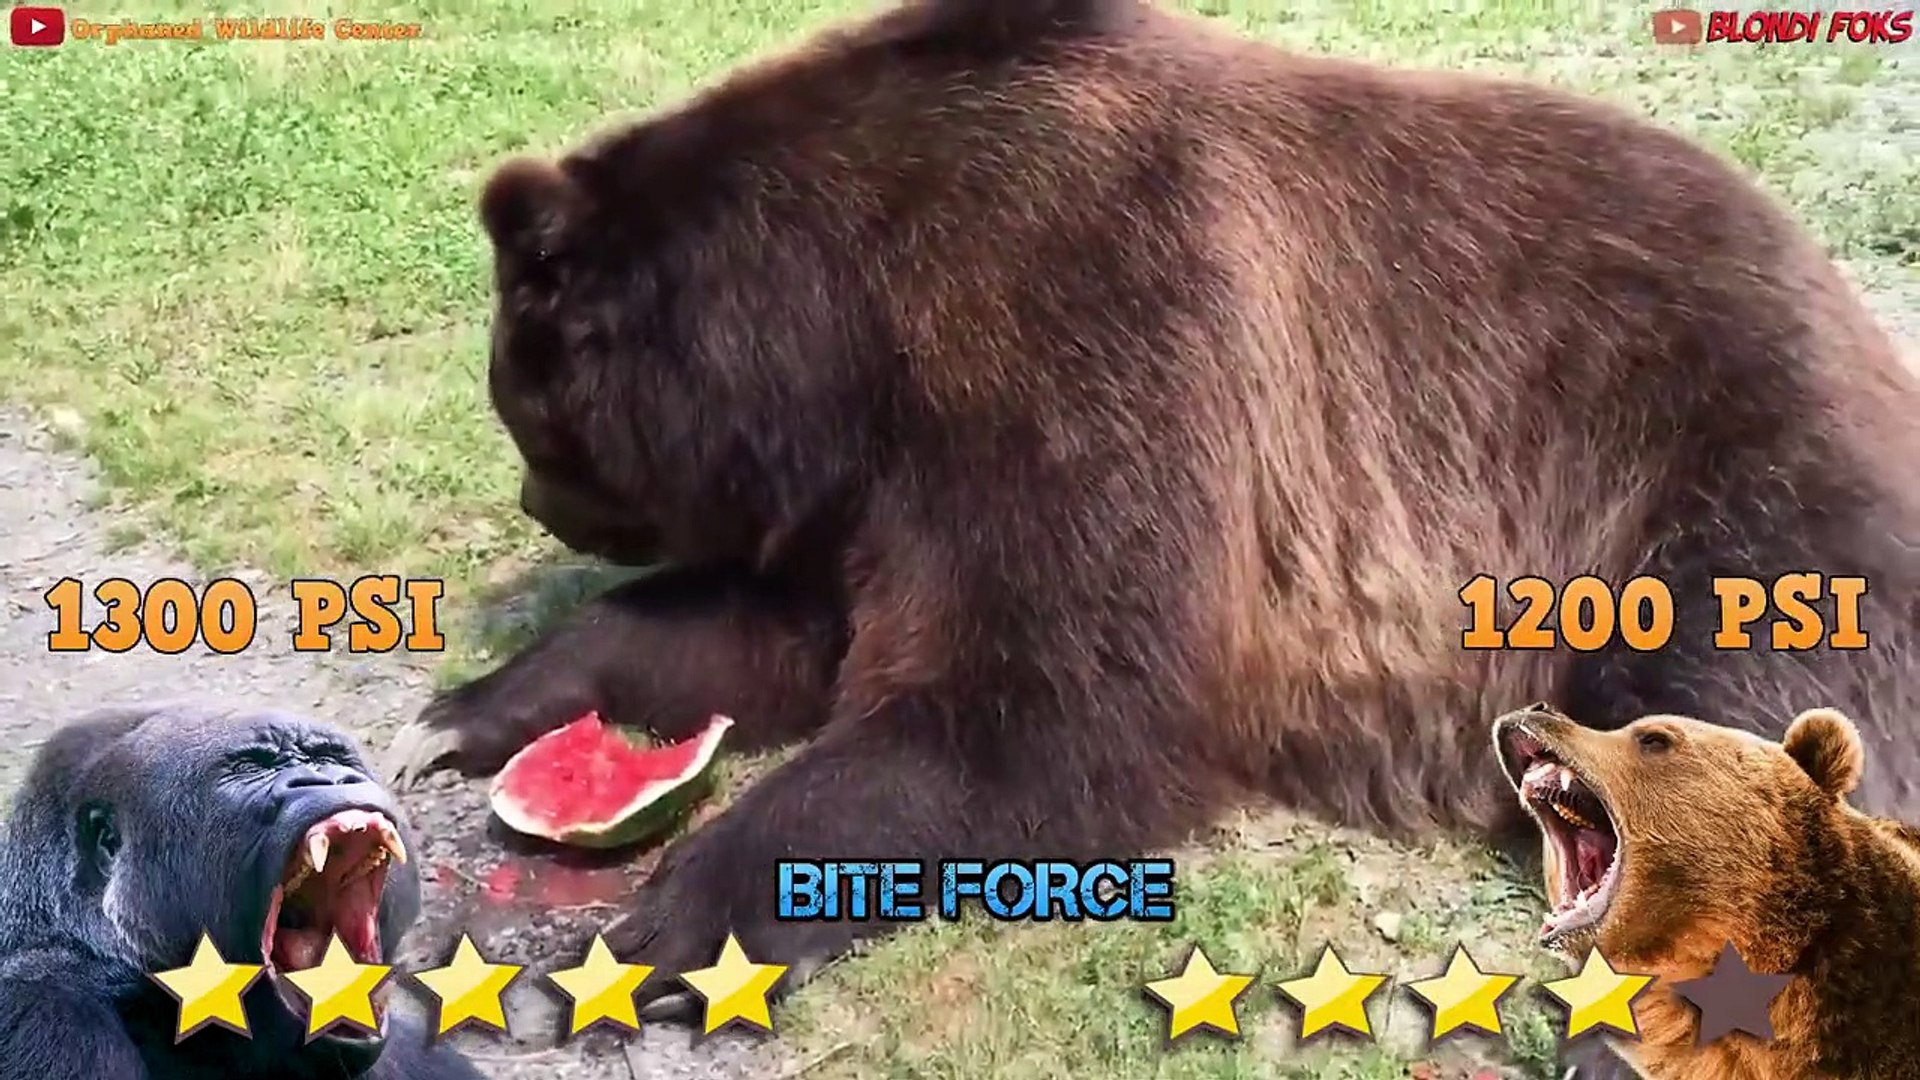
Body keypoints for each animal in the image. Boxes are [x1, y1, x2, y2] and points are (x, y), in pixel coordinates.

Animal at [384, 0, 1920, 1022]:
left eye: (524, 409)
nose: (539, 502)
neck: (852, 319)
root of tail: (1844, 296)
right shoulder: (881, 477)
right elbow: (767, 627)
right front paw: (463, 712)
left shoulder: (1103, 328)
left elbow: (1041, 704)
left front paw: (664, 923)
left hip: (1700, 470)